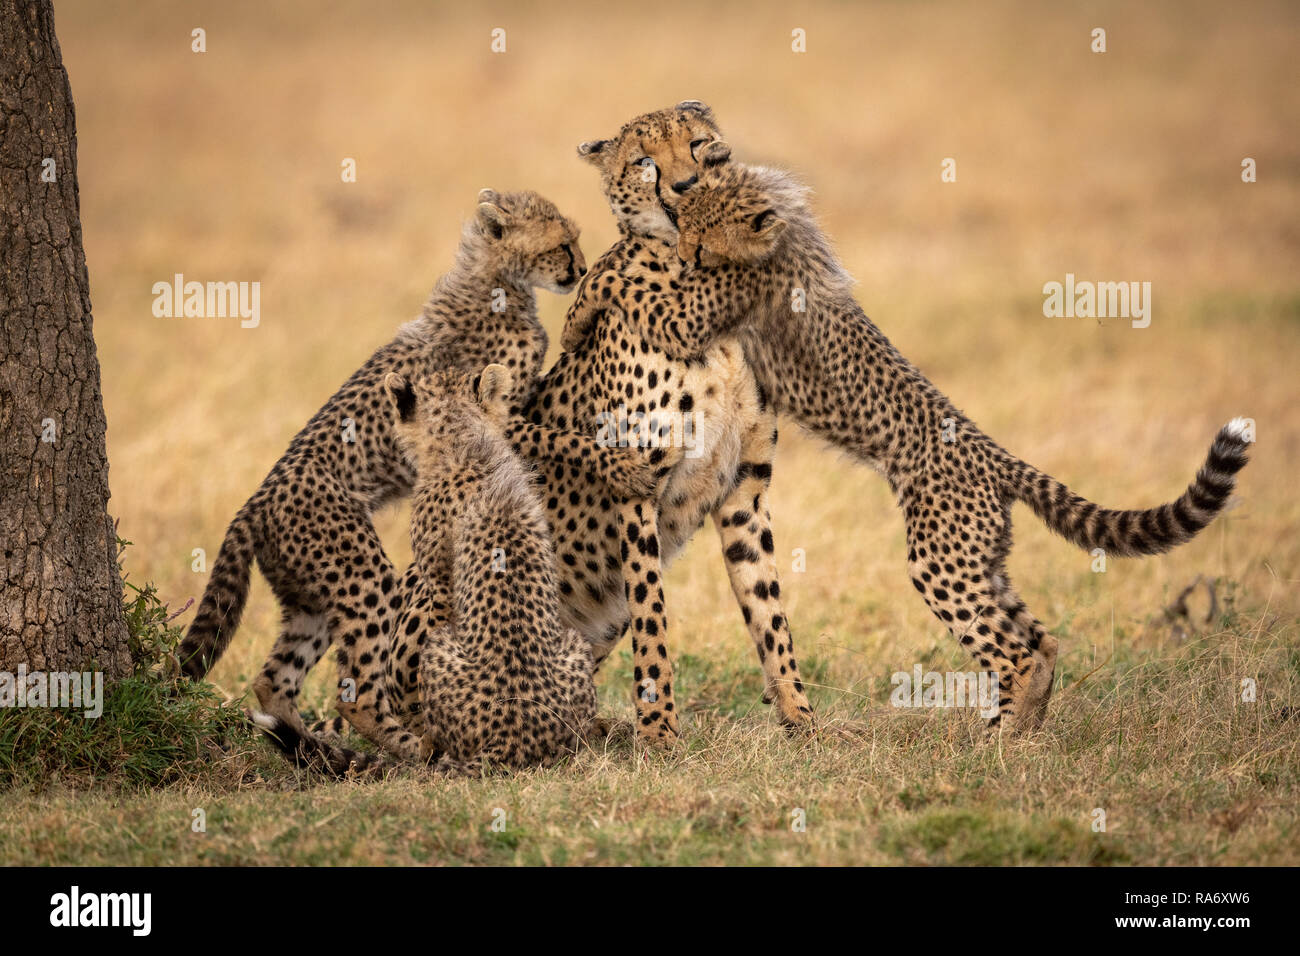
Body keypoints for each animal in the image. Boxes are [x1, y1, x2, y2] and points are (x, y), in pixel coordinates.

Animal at [177, 188, 654, 755]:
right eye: (563, 243)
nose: (579, 269)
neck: (496, 285)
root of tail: (254, 503)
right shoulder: (493, 414)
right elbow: (560, 437)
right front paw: (622, 465)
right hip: (363, 578)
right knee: (355, 690)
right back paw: (407, 747)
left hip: (310, 599)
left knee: (274, 679)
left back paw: (318, 751)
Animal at [608, 159, 1253, 733]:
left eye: (701, 235)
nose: (686, 252)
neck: (786, 235)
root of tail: (998, 456)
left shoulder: (713, 309)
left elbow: (642, 298)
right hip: (982, 563)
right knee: (1042, 642)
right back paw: (1021, 731)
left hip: (941, 563)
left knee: (1014, 655)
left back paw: (999, 744)